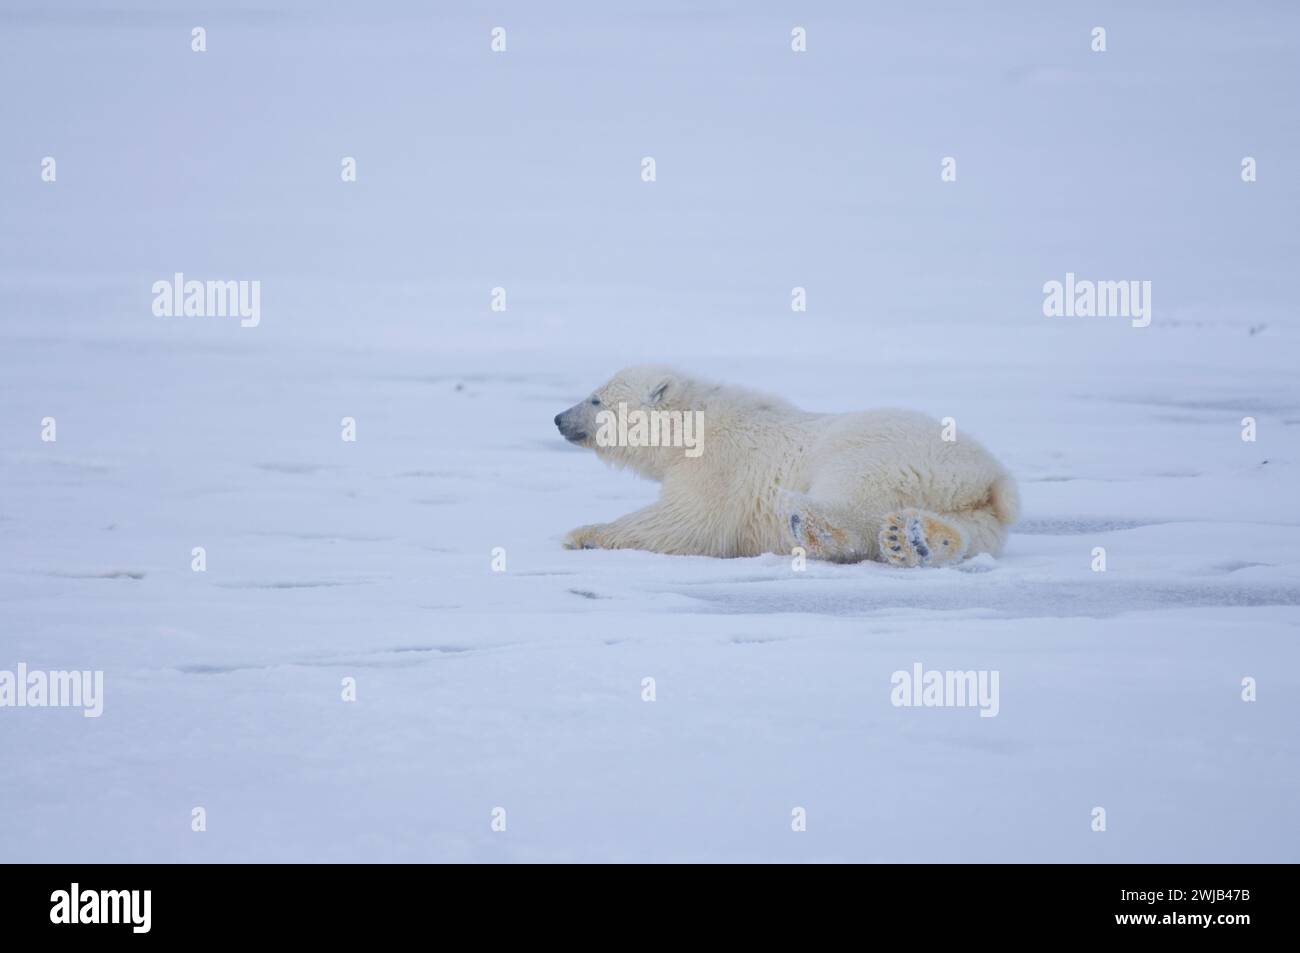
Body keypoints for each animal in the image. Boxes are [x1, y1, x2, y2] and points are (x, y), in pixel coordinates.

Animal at [554, 365, 1019, 567]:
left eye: (595, 398)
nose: (558, 418)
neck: (696, 424)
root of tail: (989, 476)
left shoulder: (721, 464)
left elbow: (685, 521)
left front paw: (583, 534)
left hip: (882, 447)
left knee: (851, 487)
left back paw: (813, 524)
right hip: (974, 509)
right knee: (968, 533)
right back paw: (914, 539)